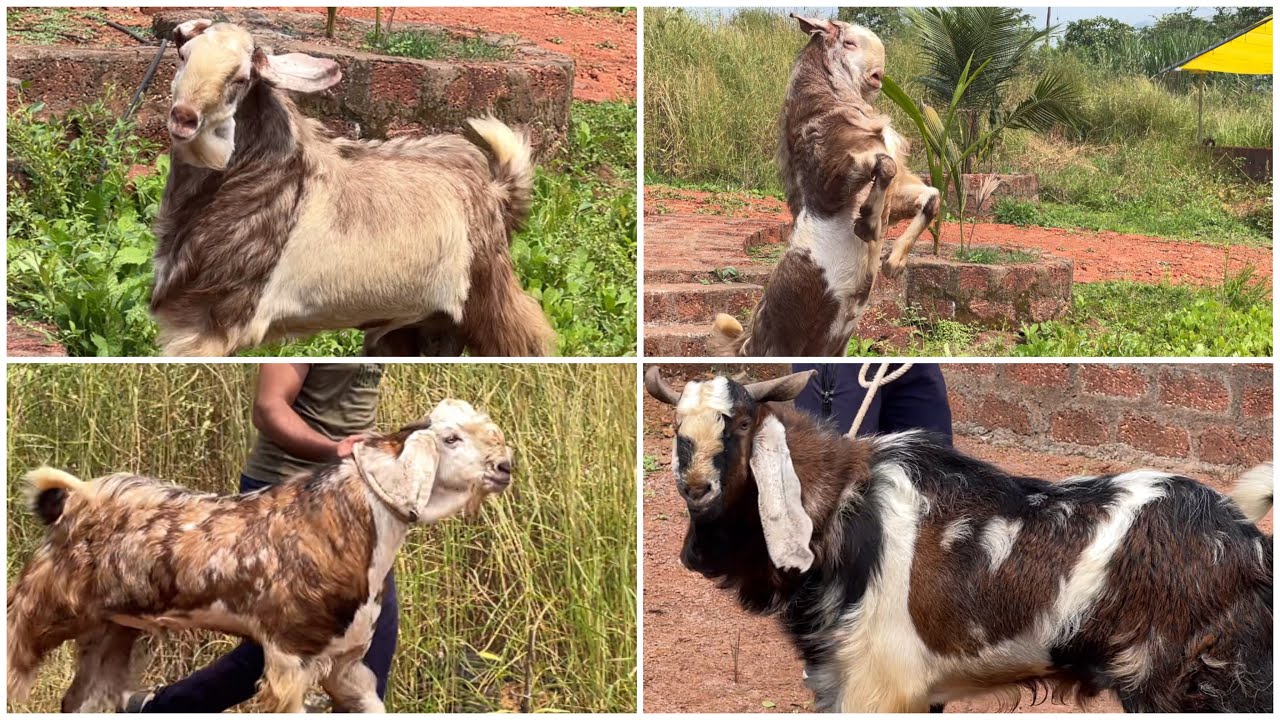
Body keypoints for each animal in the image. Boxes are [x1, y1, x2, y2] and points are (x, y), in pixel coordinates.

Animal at [7, 399, 514, 713]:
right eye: (451, 438)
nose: (505, 467)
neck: (353, 519)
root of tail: (75, 502)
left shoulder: (344, 660)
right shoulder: (290, 654)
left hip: (111, 630)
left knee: (83, 700)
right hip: (39, 609)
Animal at [150, 20, 554, 357]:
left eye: (240, 78)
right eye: (183, 56)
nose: (184, 118)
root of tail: (494, 190)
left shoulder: (212, 321)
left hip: (488, 298)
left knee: (529, 338)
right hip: (413, 324)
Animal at [646, 366, 1273, 712]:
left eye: (740, 423)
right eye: (676, 430)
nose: (696, 487)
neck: (845, 508)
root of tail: (1248, 540)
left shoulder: (879, 682)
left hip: (1192, 683)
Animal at [711, 15, 939, 356]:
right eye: (849, 43)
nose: (879, 76)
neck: (830, 104)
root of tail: (746, 341)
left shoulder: (897, 192)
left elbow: (931, 196)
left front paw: (893, 263)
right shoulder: (828, 182)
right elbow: (884, 164)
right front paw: (868, 223)